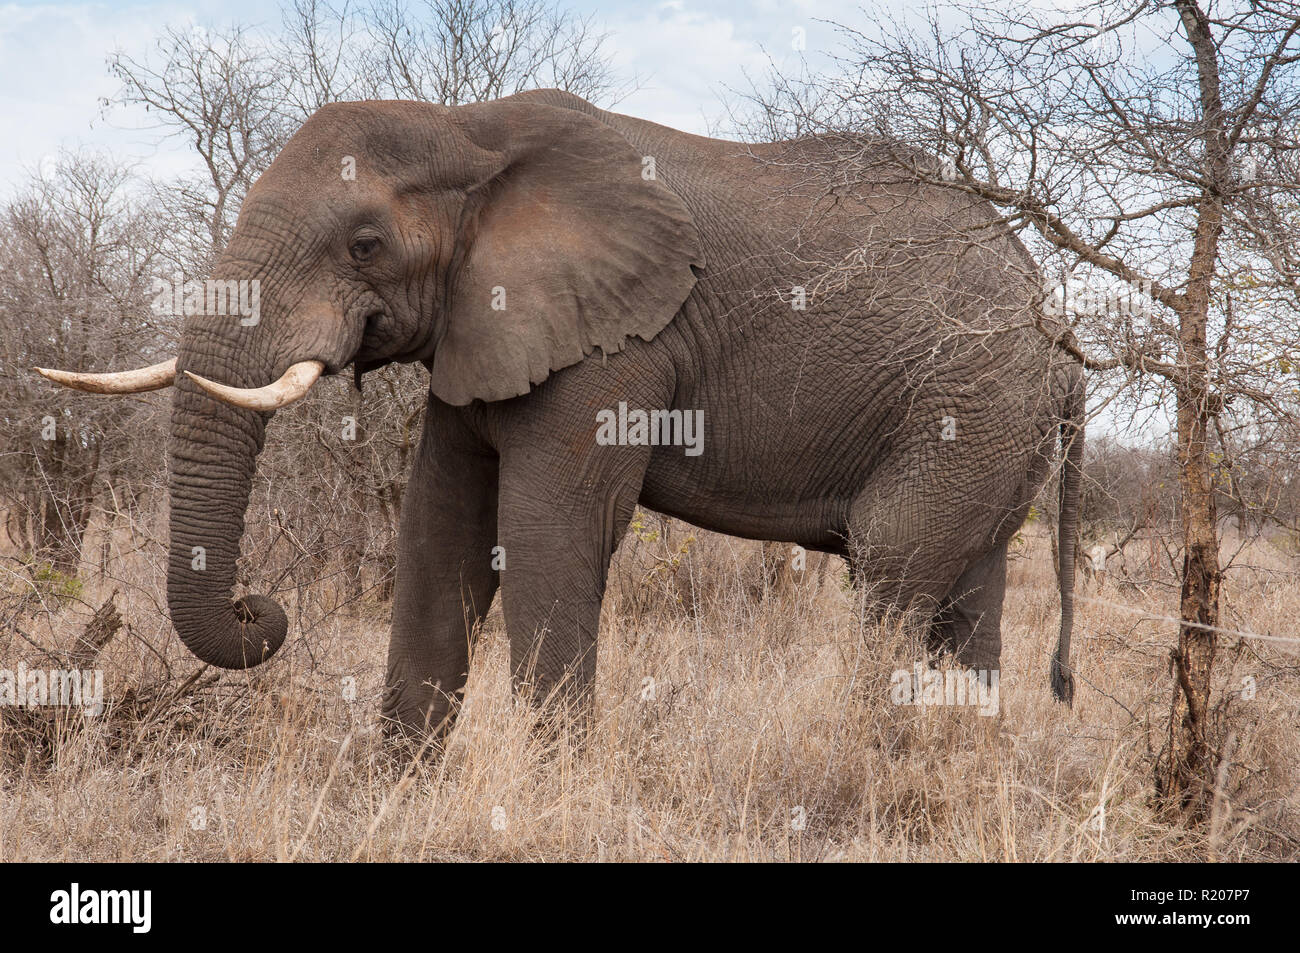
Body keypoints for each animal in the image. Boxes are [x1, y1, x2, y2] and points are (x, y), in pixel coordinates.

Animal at [38, 88, 1084, 743]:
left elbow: (547, 534)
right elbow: (441, 537)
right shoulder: (482, 330)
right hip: (991, 420)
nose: (261, 609)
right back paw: (957, 762)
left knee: (892, 570)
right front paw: (392, 792)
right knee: (966, 599)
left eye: (365, 243)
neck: (472, 131)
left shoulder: (616, 345)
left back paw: (867, 753)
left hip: (972, 401)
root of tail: (1054, 314)